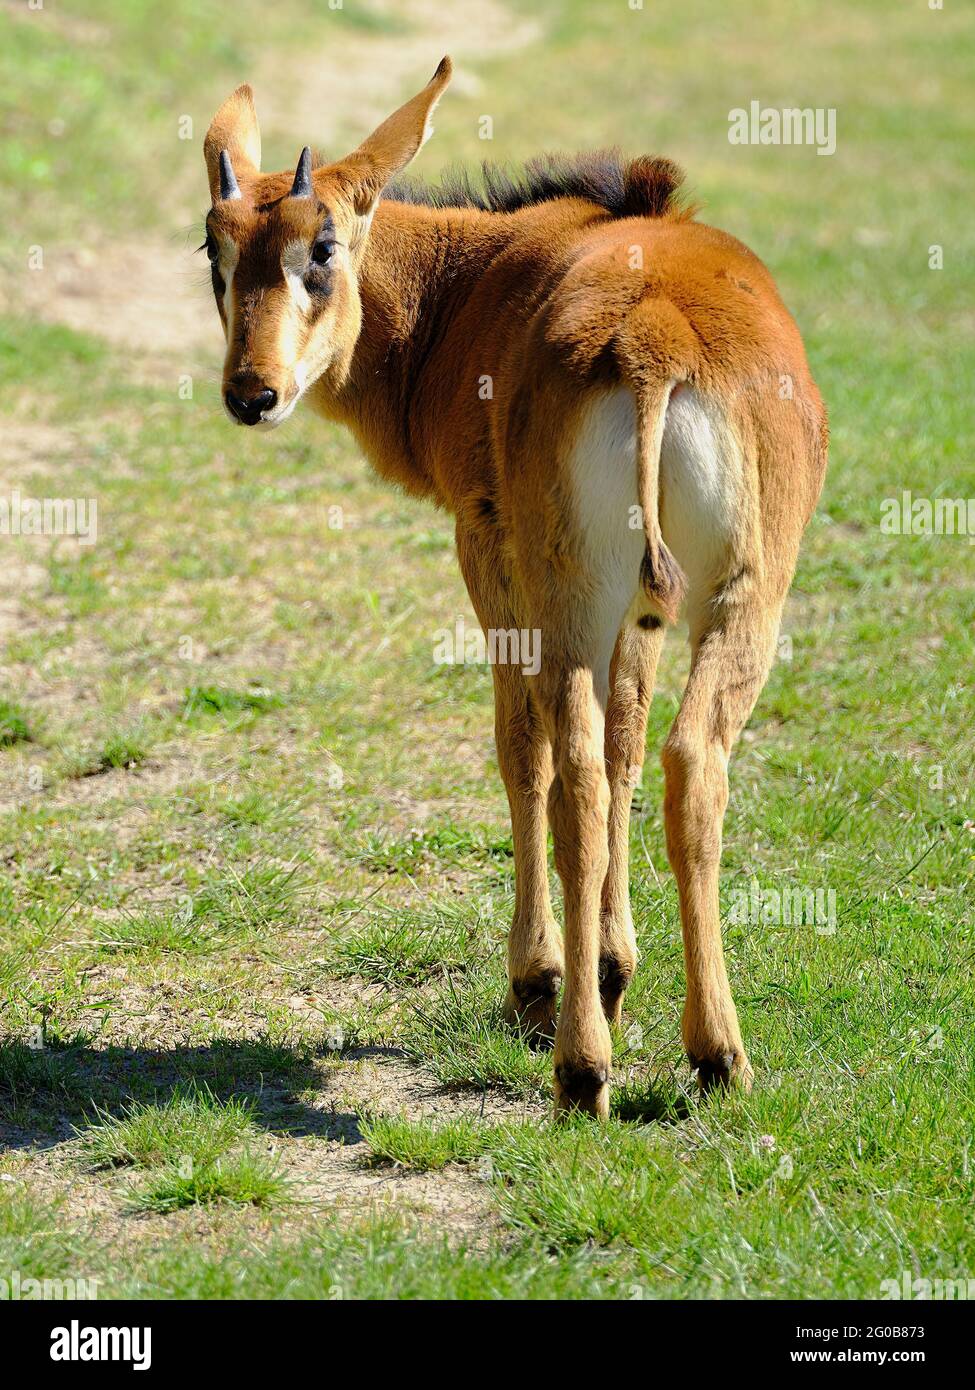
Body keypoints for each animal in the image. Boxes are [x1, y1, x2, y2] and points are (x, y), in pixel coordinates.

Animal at [202, 58, 827, 1117]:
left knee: (564, 768)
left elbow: (521, 748)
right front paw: (612, 966)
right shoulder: (640, 611)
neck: (470, 285)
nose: (252, 394)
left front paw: (545, 979)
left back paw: (577, 1062)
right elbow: (626, 742)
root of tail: (654, 342)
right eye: (214, 248)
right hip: (739, 592)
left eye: (320, 246)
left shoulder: (484, 545)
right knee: (687, 760)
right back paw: (714, 1055)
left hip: (564, 589)